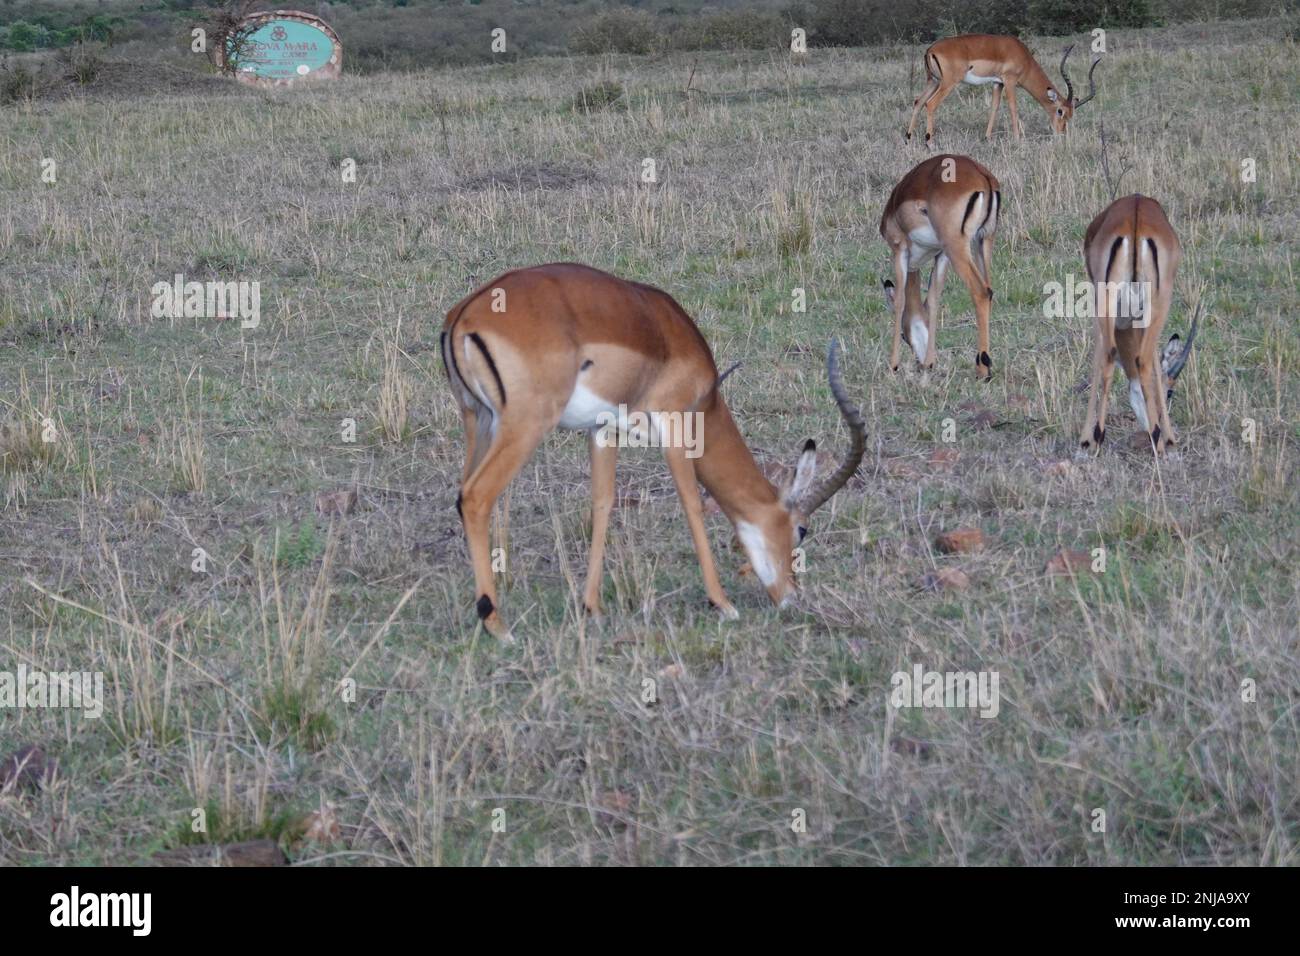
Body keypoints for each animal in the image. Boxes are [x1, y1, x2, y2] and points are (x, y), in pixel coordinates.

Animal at [440, 263, 866, 641]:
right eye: (801, 529)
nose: (791, 596)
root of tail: (464, 315)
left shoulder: (603, 430)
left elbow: (602, 503)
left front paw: (592, 607)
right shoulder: (676, 427)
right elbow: (692, 503)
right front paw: (723, 604)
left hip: (478, 422)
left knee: (462, 494)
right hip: (524, 426)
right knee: (476, 497)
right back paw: (497, 625)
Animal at [880, 154, 1000, 379]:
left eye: (904, 335)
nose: (918, 362)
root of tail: (982, 176)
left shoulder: (899, 251)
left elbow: (900, 301)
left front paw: (893, 365)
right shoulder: (941, 255)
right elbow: (933, 300)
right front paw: (929, 362)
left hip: (957, 247)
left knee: (981, 292)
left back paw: (982, 369)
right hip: (983, 241)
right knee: (989, 290)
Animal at [905, 36, 1100, 142]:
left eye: (1071, 114)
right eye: (1060, 111)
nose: (1061, 133)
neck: (1024, 58)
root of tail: (930, 49)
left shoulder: (997, 83)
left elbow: (994, 107)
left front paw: (987, 137)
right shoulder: (1009, 81)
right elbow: (1013, 107)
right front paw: (1018, 139)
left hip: (933, 81)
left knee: (917, 102)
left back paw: (908, 138)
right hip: (948, 83)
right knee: (930, 104)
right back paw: (929, 142)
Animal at [1079, 195, 1198, 454]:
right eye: (1170, 392)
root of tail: (1136, 211)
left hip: (1113, 303)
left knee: (1113, 355)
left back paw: (1100, 435)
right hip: (1158, 302)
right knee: (1140, 359)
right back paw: (1157, 437)